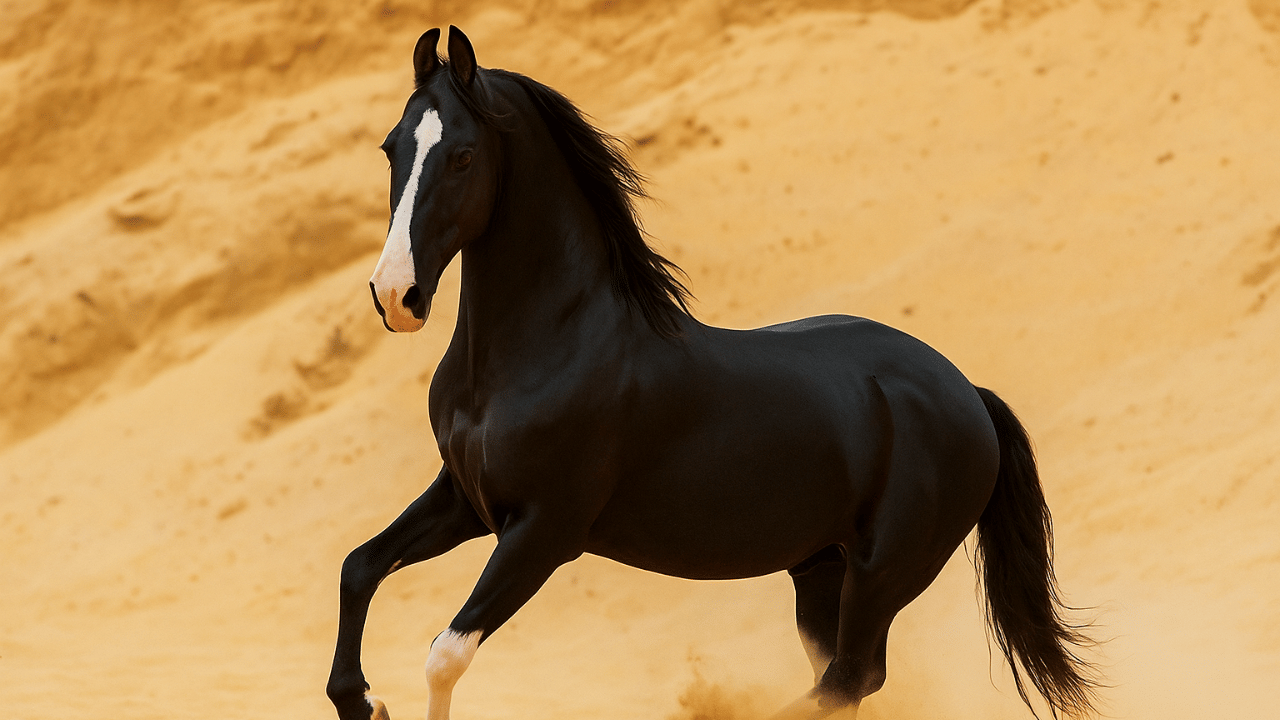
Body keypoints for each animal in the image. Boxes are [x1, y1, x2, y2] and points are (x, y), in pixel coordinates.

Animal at [326, 26, 1098, 720]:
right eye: (392, 148)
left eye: (461, 156)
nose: (396, 297)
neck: (540, 349)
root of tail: (968, 393)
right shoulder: (465, 499)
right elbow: (358, 567)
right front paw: (361, 701)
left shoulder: (543, 532)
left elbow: (445, 654)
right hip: (821, 567)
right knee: (845, 678)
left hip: (885, 571)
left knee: (847, 678)